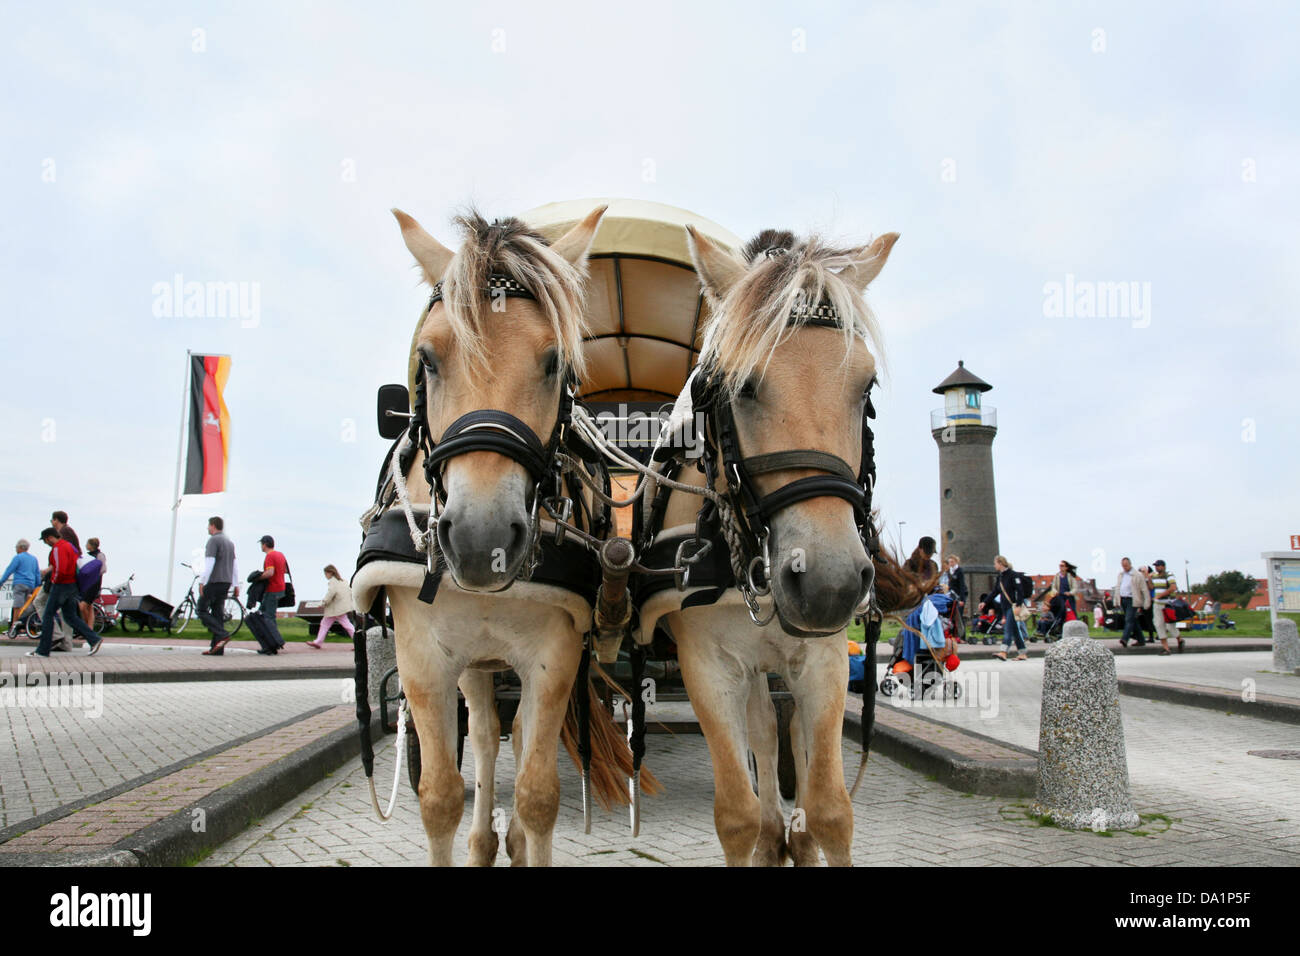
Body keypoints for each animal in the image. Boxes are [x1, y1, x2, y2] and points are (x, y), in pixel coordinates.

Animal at [353, 204, 642, 866]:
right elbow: (439, 797)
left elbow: (538, 796)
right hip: (475, 665)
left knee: (510, 735)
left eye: (555, 361)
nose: (481, 540)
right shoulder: (425, 660)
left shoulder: (553, 657)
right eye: (429, 358)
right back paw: (485, 839)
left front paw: (525, 831)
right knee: (486, 735)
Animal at [634, 224, 927, 865]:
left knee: (781, 734)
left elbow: (831, 810)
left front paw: (807, 829)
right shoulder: (710, 664)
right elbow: (738, 815)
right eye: (738, 385)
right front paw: (764, 830)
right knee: (764, 738)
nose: (828, 581)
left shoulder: (823, 659)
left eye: (866, 385)